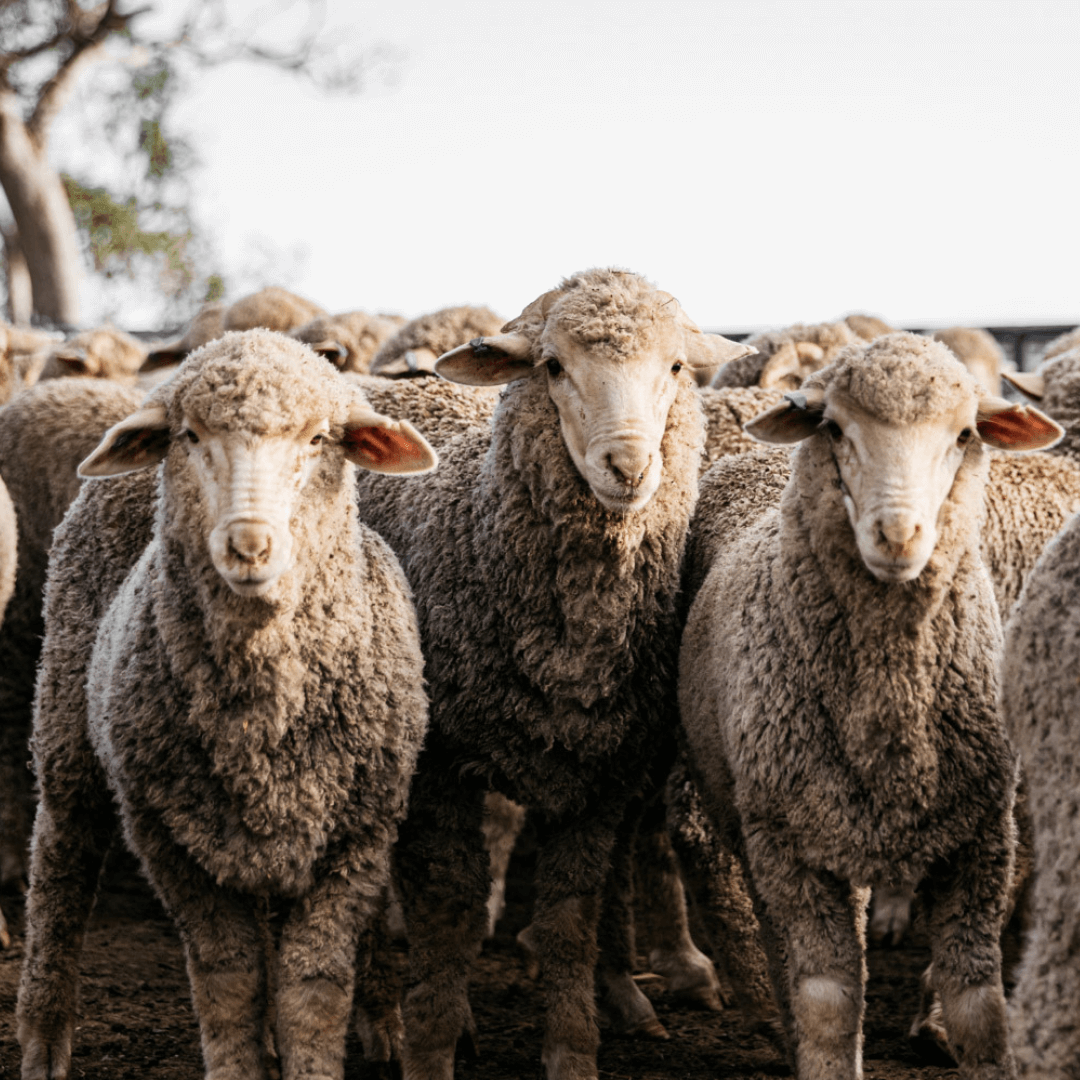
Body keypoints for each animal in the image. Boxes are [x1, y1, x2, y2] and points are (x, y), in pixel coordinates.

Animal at [16, 330, 437, 1080]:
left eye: (319, 439)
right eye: (191, 436)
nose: (248, 545)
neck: (258, 714)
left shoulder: (358, 839)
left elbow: (311, 989)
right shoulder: (169, 839)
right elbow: (229, 978)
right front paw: (242, 1060)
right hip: (65, 710)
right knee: (61, 860)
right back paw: (42, 1036)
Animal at [679, 332, 1061, 1080]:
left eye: (964, 434)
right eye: (834, 428)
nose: (897, 535)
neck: (891, 715)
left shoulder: (980, 840)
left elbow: (980, 1007)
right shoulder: (794, 850)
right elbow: (828, 1002)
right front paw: (820, 1047)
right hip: (753, 816)